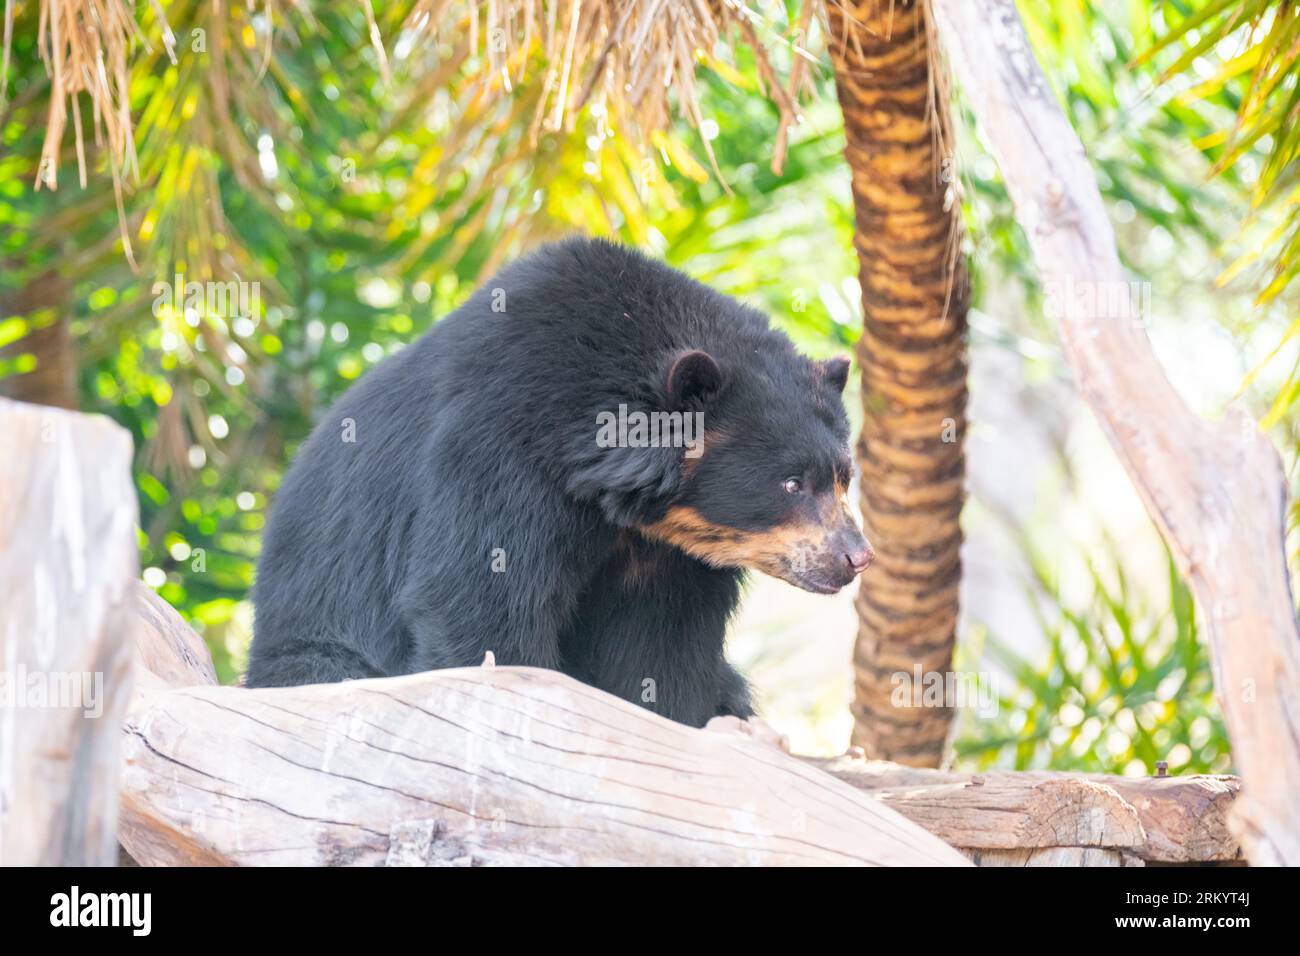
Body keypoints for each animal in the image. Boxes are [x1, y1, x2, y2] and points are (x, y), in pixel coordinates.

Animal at [246, 237, 873, 728]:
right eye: (792, 484)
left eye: (844, 478)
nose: (856, 557)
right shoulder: (496, 448)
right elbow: (477, 597)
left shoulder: (673, 556)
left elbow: (661, 648)